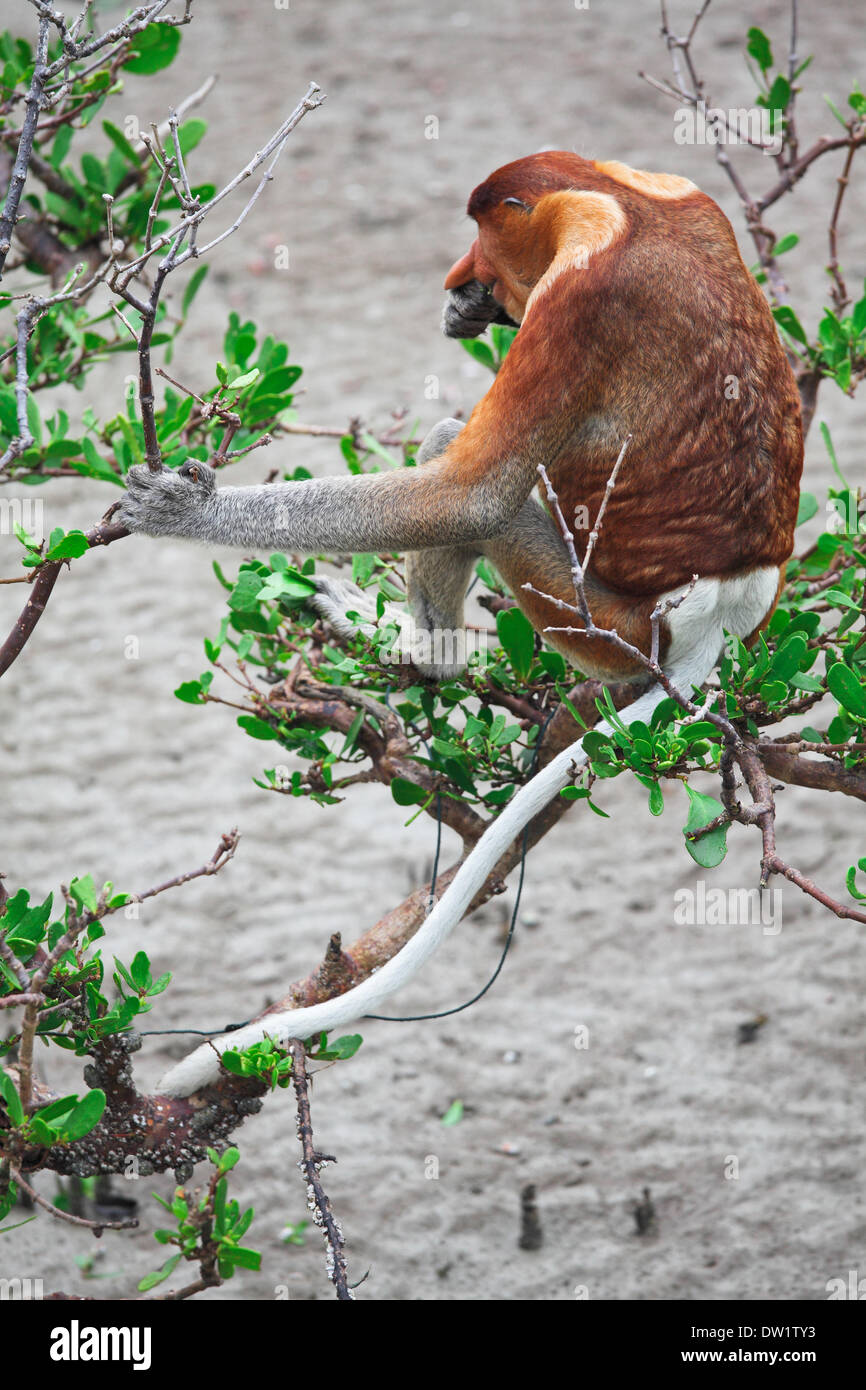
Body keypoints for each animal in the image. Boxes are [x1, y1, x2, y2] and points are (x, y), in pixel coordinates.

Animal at [116, 152, 803, 1096]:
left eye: (482, 234)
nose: (459, 283)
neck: (619, 199)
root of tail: (722, 605)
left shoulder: (577, 300)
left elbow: (463, 495)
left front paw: (179, 510)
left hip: (592, 612)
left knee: (470, 476)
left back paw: (420, 656)